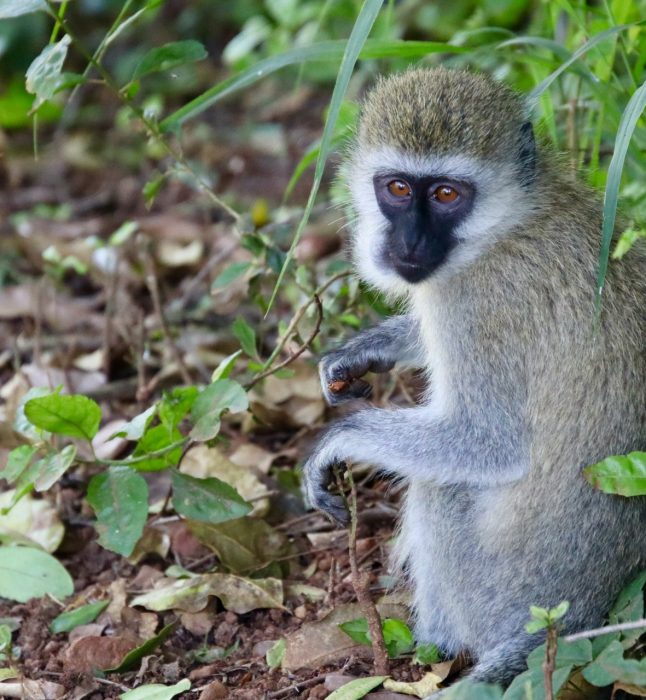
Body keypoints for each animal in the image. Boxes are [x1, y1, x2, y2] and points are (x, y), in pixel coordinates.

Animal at [302, 66, 646, 691]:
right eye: (396, 188)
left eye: (446, 195)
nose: (409, 243)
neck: (508, 225)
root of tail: (582, 610)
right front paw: (365, 351)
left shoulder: (477, 304)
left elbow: (490, 442)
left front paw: (338, 440)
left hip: (506, 594)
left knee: (442, 485)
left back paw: (435, 649)